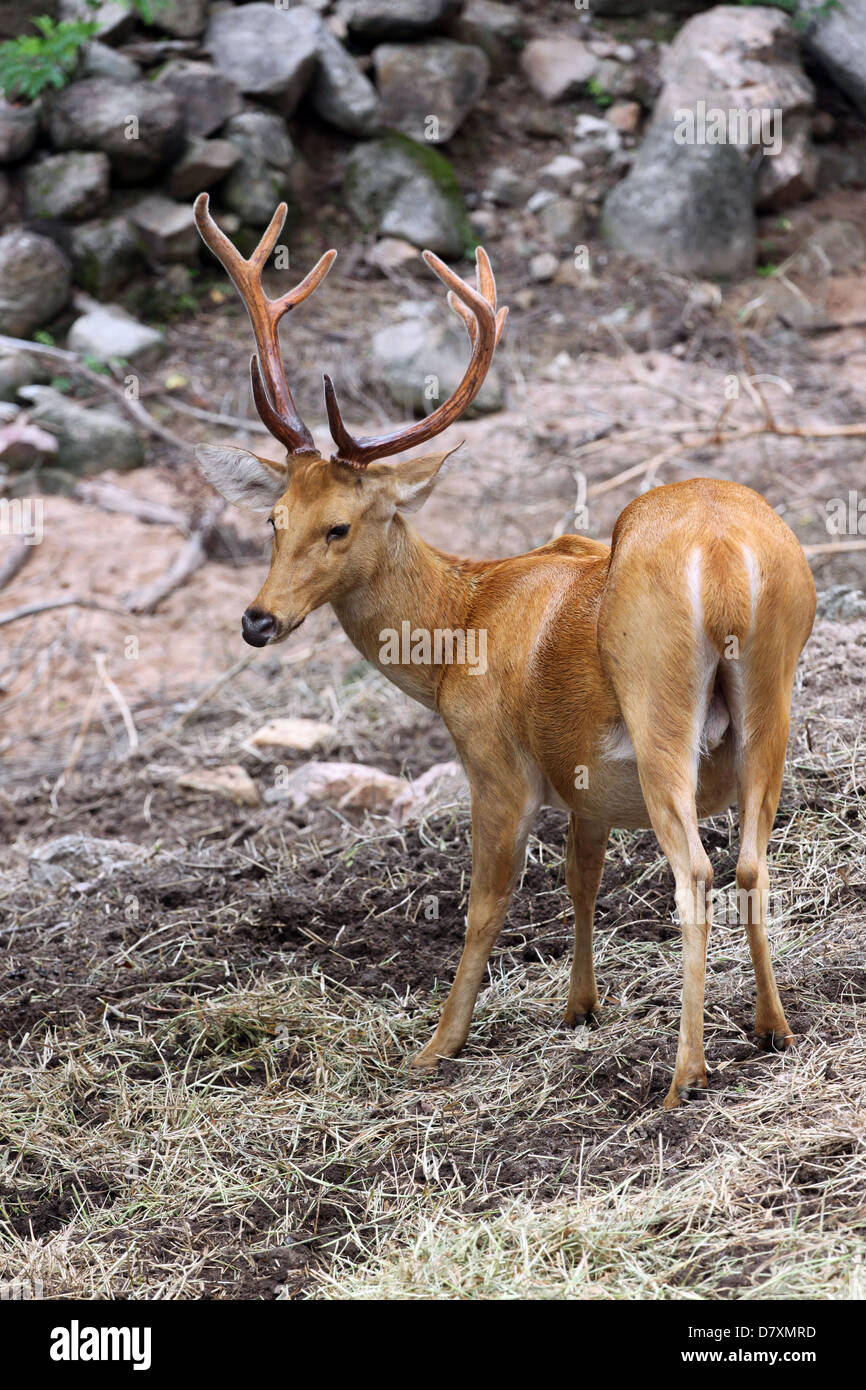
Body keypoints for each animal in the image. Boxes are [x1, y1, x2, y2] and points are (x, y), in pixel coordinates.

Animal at [192, 193, 817, 1110]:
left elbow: (485, 904)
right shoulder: (585, 783)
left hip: (660, 699)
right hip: (770, 695)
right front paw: (580, 1007)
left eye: (338, 527)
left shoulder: (494, 758)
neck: (457, 627)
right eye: (273, 520)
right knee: (750, 864)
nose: (257, 620)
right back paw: (772, 1029)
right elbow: (582, 880)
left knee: (697, 873)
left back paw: (684, 1074)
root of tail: (728, 558)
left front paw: (435, 1047)